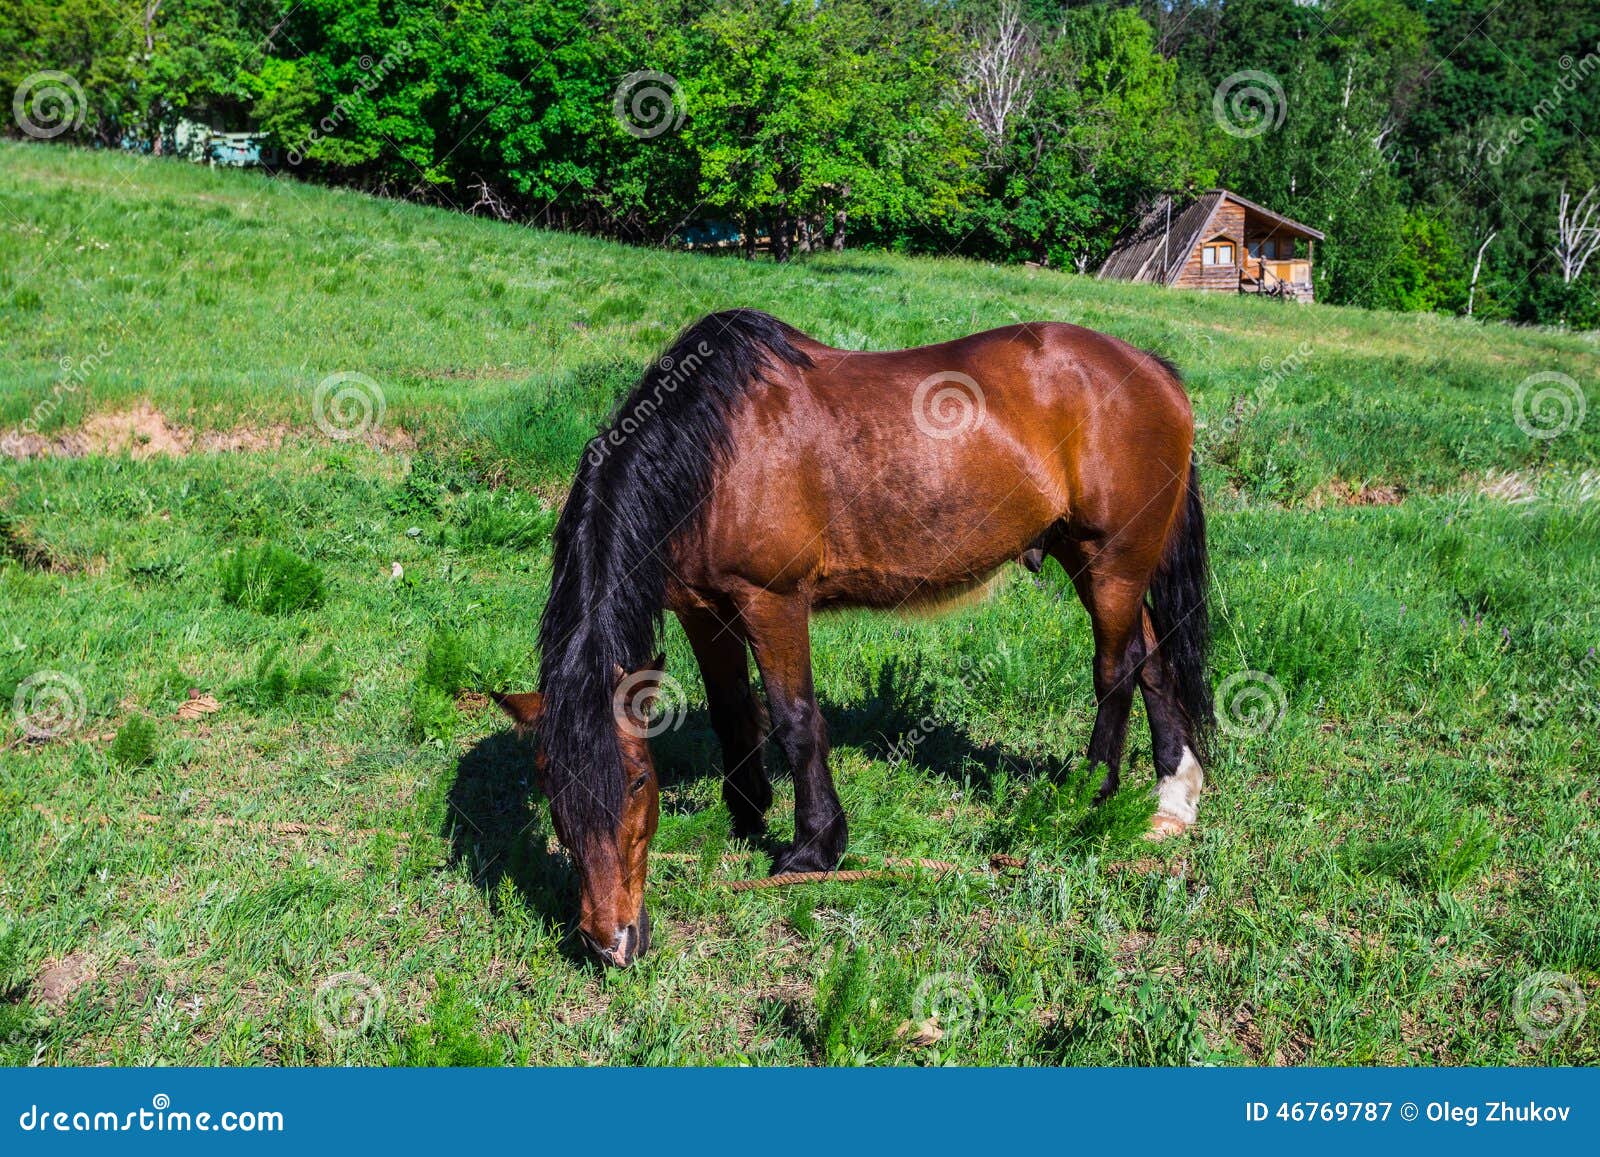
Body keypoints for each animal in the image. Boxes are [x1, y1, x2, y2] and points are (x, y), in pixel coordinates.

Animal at [494, 309, 1213, 967]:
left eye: (639, 780)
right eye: (551, 786)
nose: (609, 941)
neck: (713, 452)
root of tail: (1156, 371)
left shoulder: (772, 601)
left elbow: (795, 719)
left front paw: (814, 846)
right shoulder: (705, 610)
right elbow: (733, 713)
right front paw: (745, 815)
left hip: (1113, 560)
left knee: (1115, 669)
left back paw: (1089, 792)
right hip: (1089, 557)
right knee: (1151, 658)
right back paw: (1173, 796)